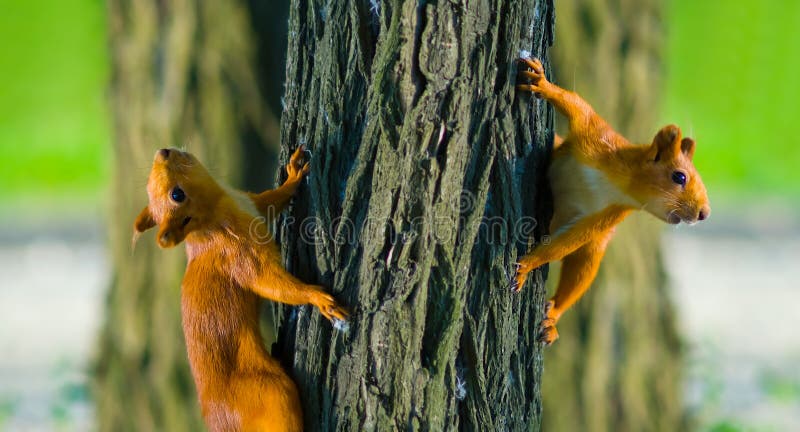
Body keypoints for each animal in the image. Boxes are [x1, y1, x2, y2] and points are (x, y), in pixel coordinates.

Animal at [133, 146, 348, 431]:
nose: (163, 151)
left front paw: (292, 177)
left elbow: (271, 200)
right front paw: (316, 297)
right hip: (271, 391)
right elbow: (268, 282)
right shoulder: (239, 253)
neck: (219, 205)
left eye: (148, 185)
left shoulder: (252, 205)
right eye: (177, 195)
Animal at [512, 57, 710, 345]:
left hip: (596, 248)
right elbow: (578, 107)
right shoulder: (597, 138)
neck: (618, 185)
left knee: (581, 271)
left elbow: (566, 243)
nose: (704, 212)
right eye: (679, 176)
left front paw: (528, 264)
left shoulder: (607, 215)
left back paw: (553, 316)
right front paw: (543, 84)